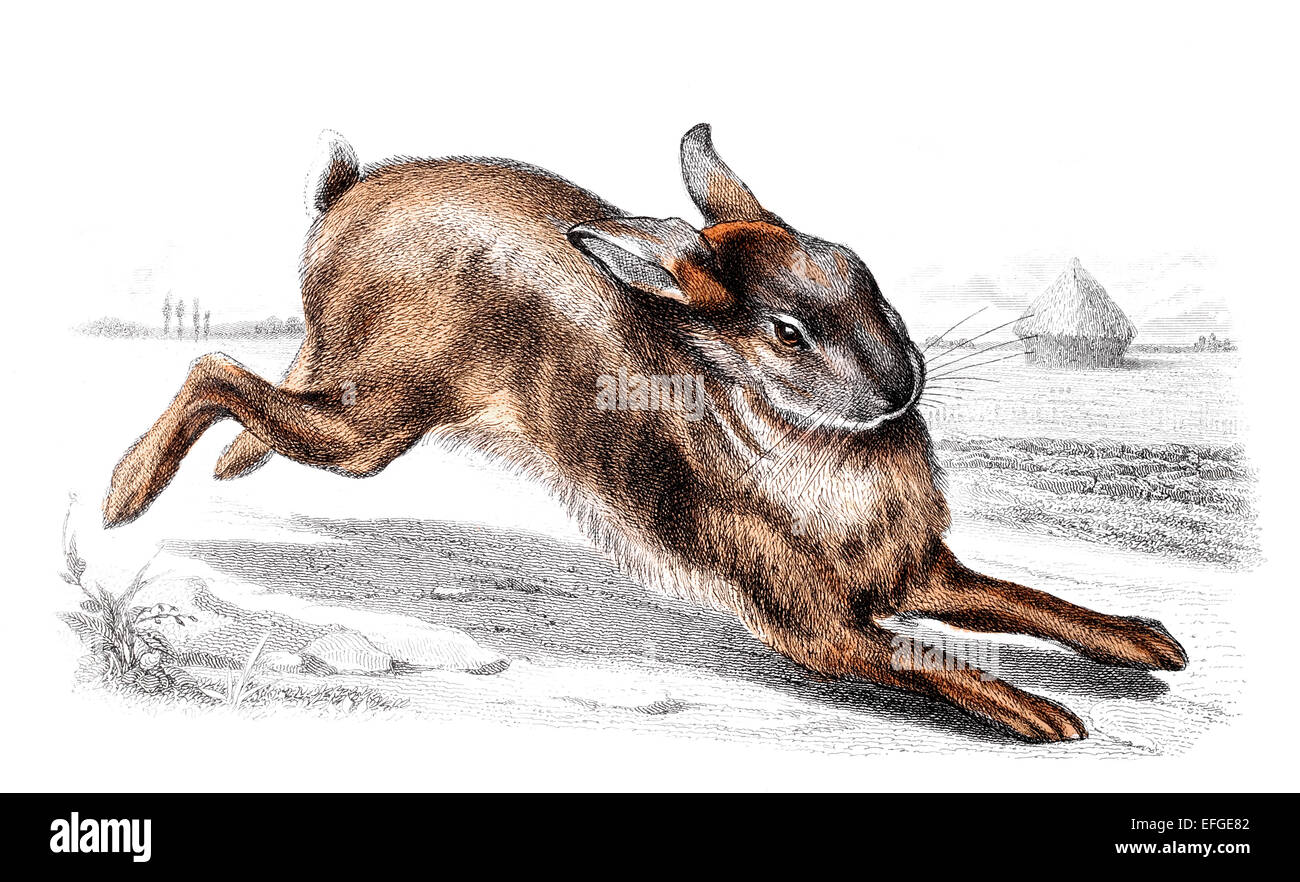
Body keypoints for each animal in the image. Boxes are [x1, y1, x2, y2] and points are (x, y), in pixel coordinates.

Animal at [103, 124, 1187, 741]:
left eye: (861, 272)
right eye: (785, 332)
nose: (898, 386)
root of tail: (342, 201)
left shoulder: (921, 571)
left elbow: (1025, 597)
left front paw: (1146, 642)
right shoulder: (814, 626)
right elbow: (924, 657)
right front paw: (1037, 713)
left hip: (357, 402)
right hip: (377, 423)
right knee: (215, 372)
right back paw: (123, 494)